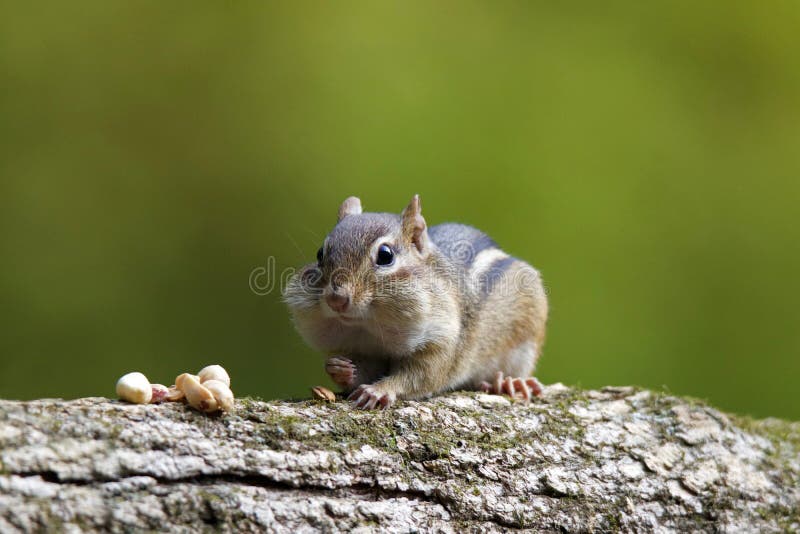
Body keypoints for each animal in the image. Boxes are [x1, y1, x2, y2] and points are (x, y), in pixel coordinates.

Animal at [283, 195, 548, 409]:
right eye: (320, 254)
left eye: (385, 255)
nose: (336, 299)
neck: (369, 328)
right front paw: (340, 368)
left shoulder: (443, 342)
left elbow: (420, 376)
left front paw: (379, 390)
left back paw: (509, 382)